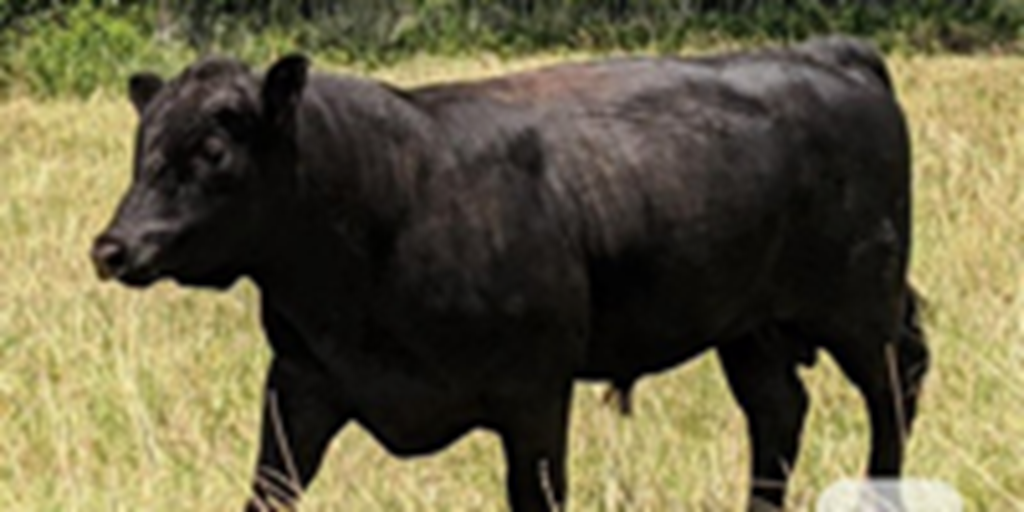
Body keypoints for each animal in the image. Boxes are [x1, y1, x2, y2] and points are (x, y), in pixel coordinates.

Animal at [90, 36, 929, 511]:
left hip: (862, 308)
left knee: (893, 394)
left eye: (213, 150)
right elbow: (270, 488)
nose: (113, 247)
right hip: (749, 328)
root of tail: (831, 55)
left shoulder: (535, 394)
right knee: (778, 413)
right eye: (143, 148)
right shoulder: (300, 384)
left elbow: (537, 495)